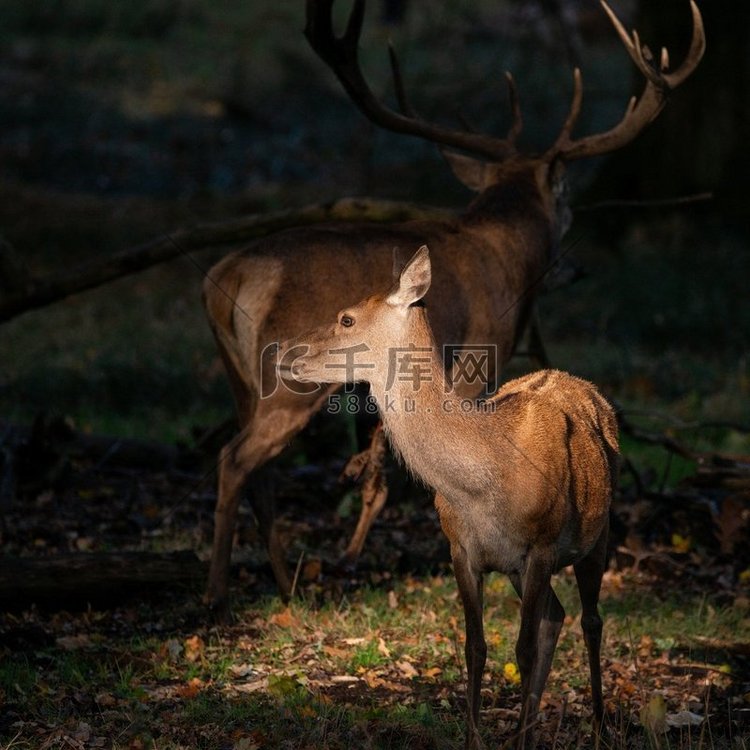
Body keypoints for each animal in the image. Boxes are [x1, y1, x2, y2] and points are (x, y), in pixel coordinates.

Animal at [201, 0, 704, 619]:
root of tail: (225, 277)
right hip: (288, 388)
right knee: (235, 459)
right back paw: (219, 592)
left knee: (259, 470)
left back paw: (284, 582)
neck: (505, 254)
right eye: (566, 198)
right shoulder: (481, 352)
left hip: (240, 380)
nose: (576, 266)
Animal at [277, 245, 620, 749]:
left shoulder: (540, 545)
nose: (283, 349)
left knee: (590, 621)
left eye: (346, 318)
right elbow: (476, 647)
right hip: (519, 568)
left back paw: (596, 725)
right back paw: (530, 725)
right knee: (556, 616)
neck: (484, 483)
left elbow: (522, 646)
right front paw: (477, 737)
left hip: (598, 531)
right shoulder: (461, 548)